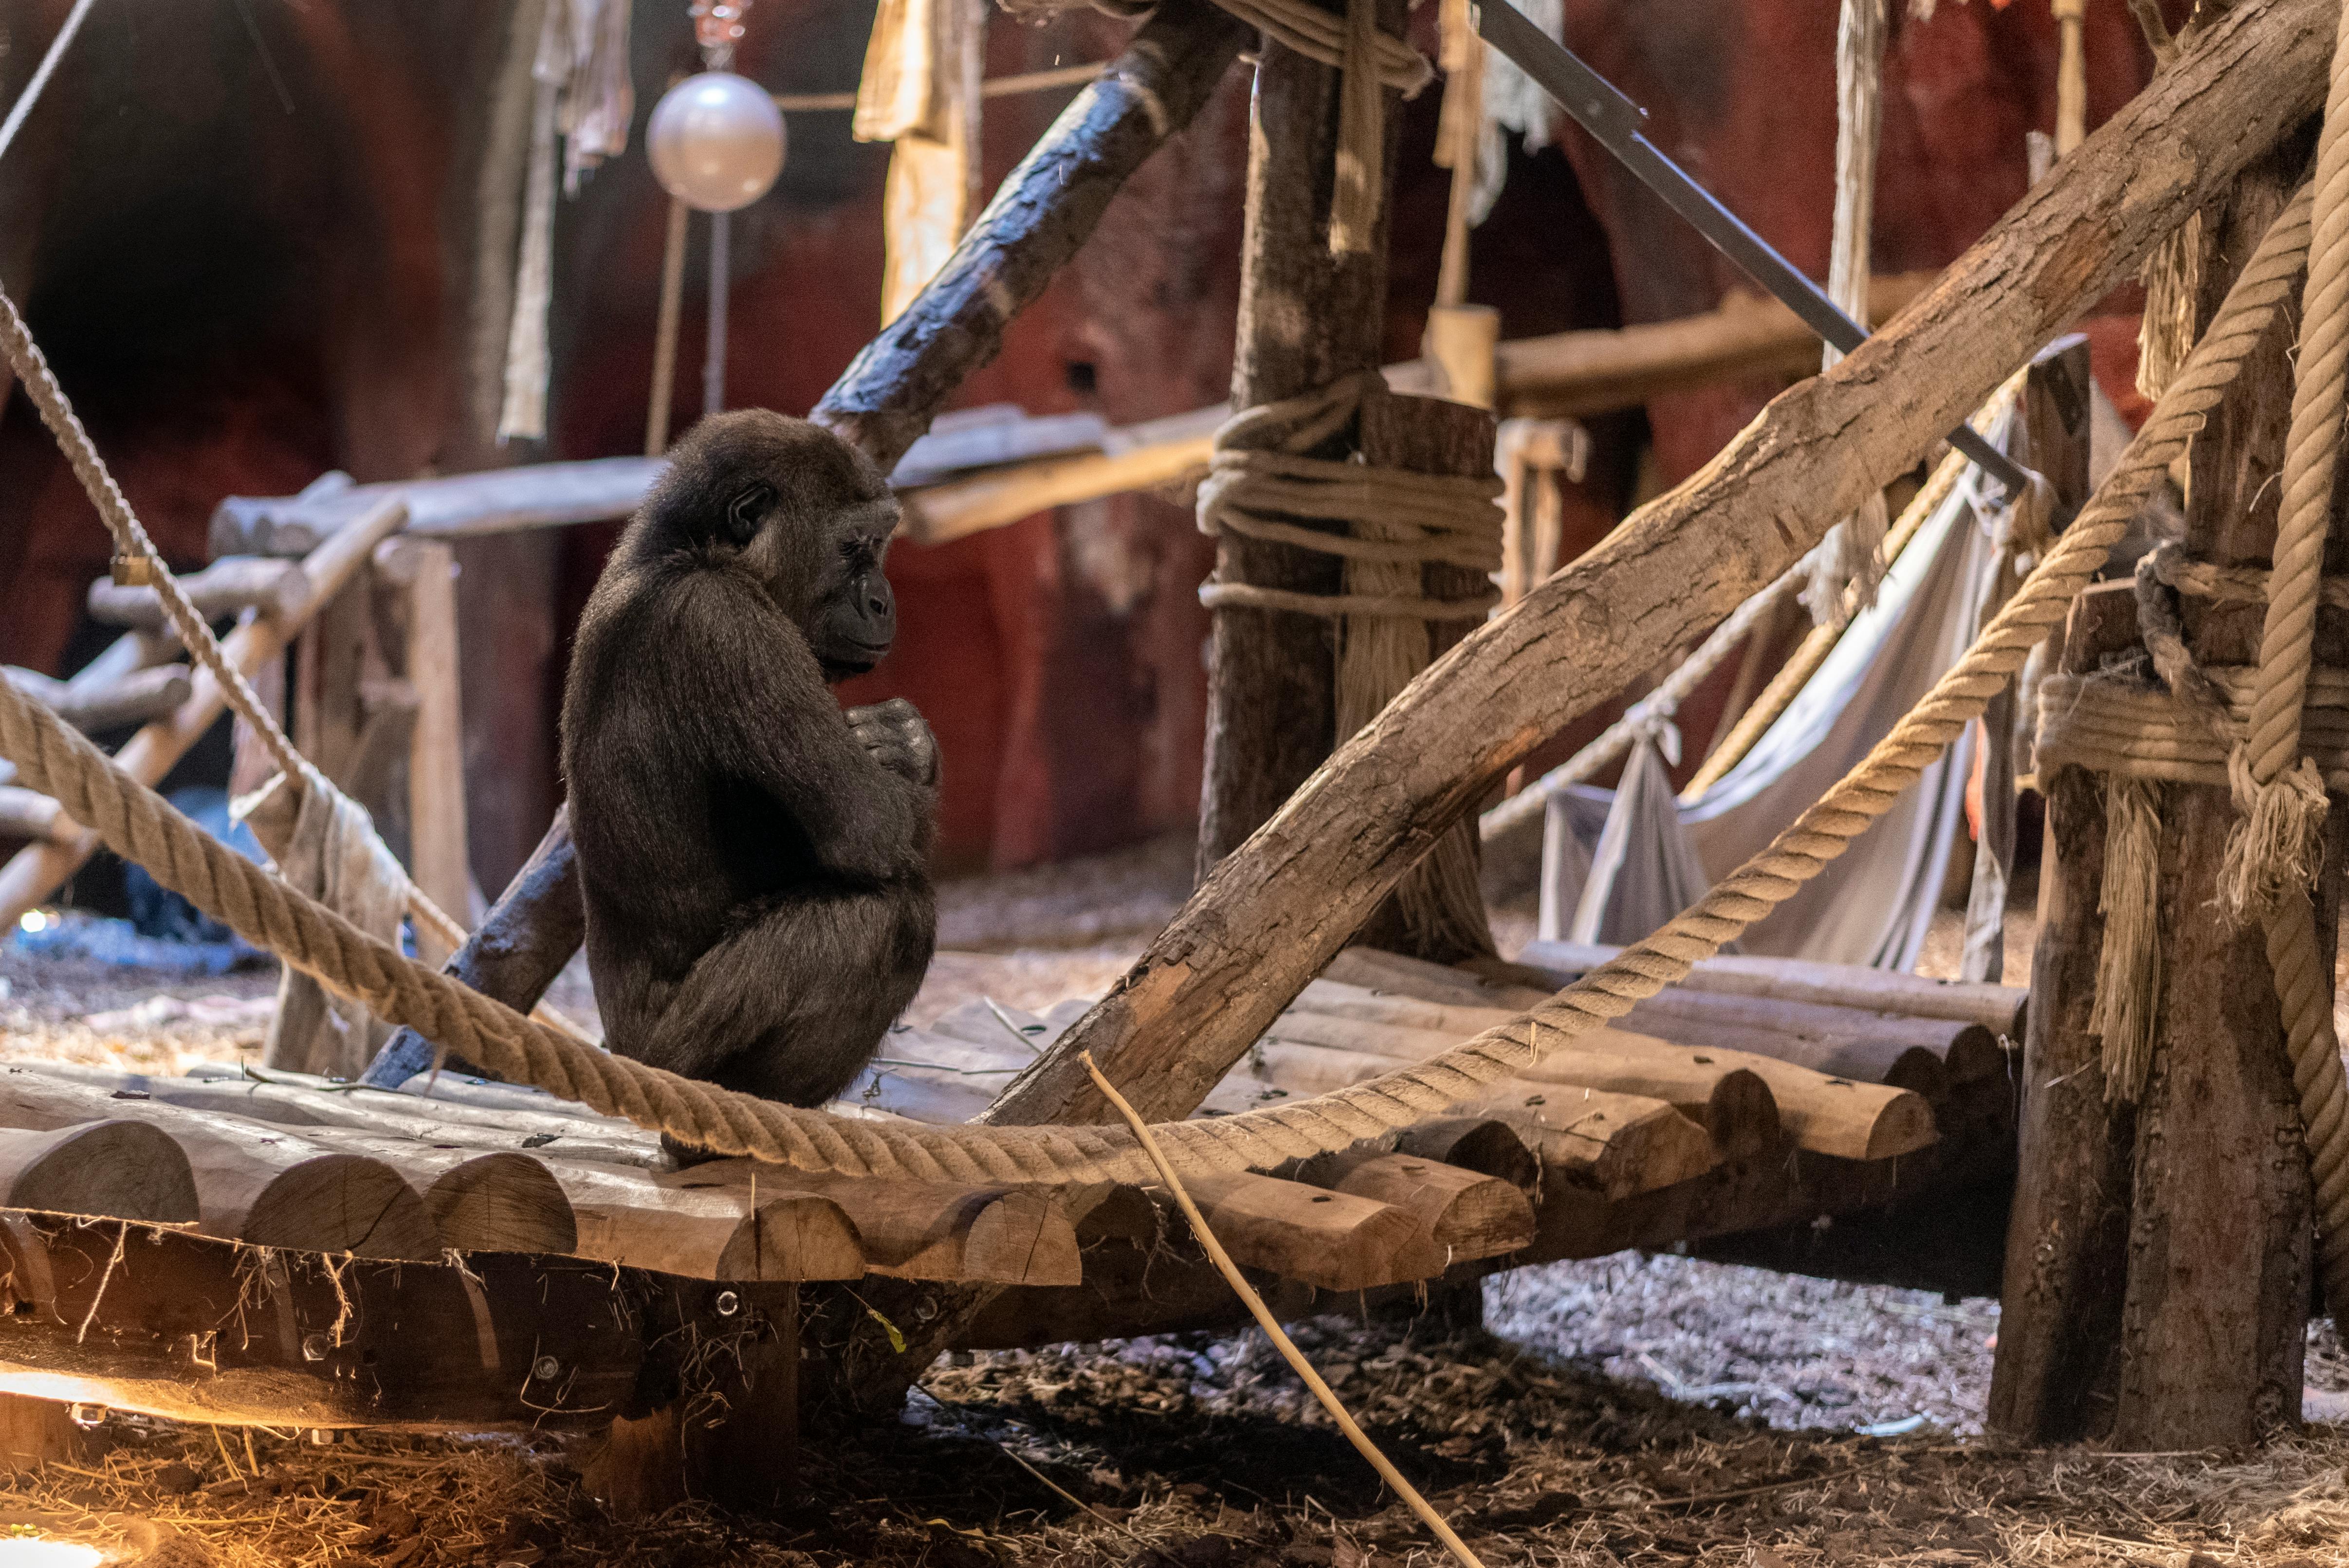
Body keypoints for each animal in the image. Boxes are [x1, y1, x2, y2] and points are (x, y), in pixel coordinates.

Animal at [560, 408, 938, 1113]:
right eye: (853, 546)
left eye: (879, 544)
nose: (883, 601)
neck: (685, 551)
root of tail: (619, 1056)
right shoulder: (727, 623)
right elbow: (873, 827)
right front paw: (913, 756)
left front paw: (903, 739)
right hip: (665, 1066)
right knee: (891, 917)